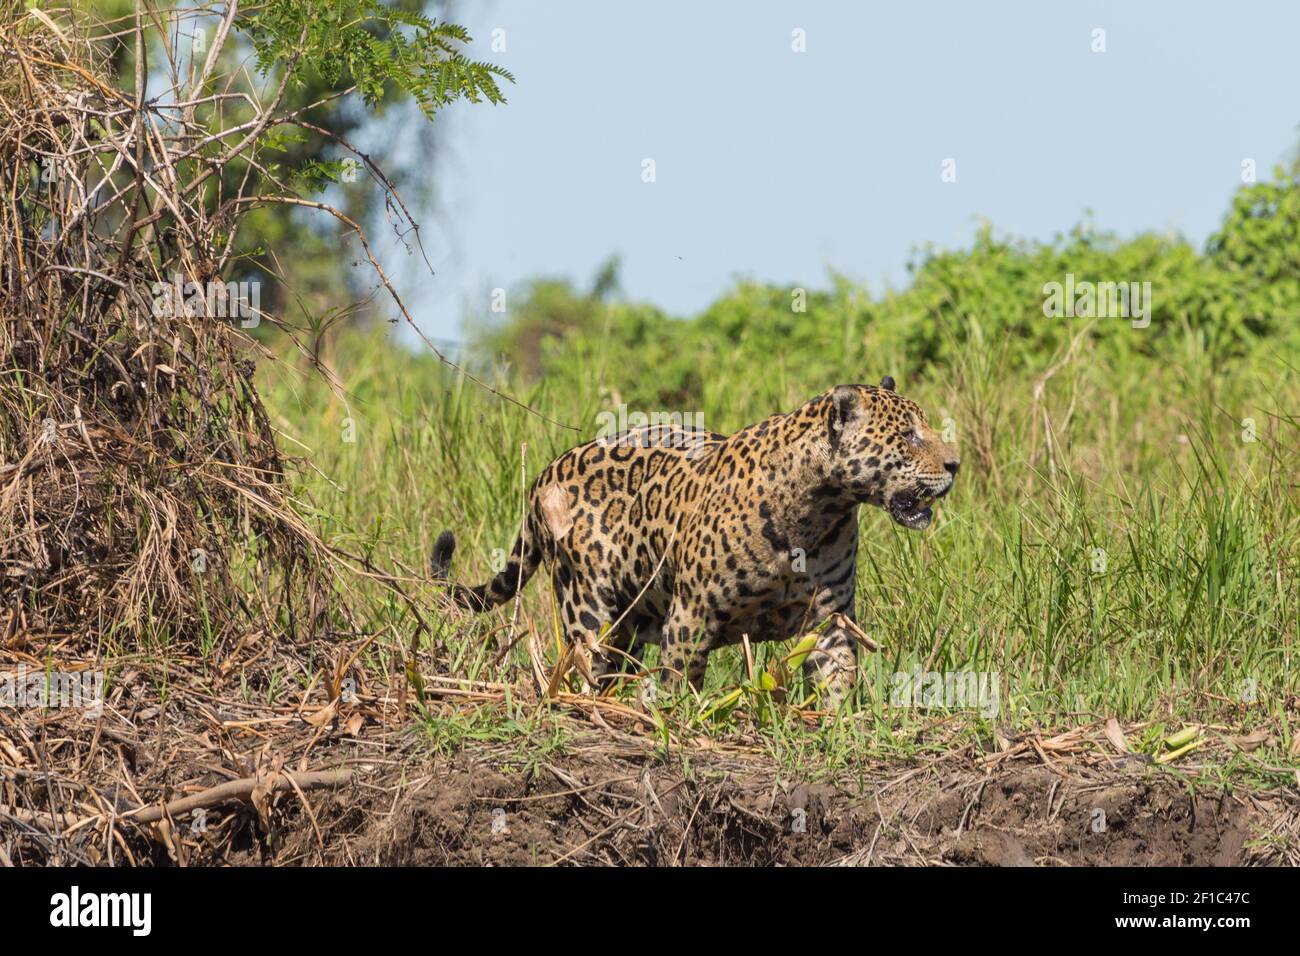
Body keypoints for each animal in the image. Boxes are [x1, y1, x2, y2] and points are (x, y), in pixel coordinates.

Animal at [431, 376, 959, 709]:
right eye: (909, 436)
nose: (955, 464)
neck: (819, 508)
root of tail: (547, 471)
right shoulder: (692, 613)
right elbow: (681, 682)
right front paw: (678, 722)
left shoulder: (831, 615)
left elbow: (837, 673)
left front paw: (837, 726)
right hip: (588, 609)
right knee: (589, 665)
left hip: (630, 623)